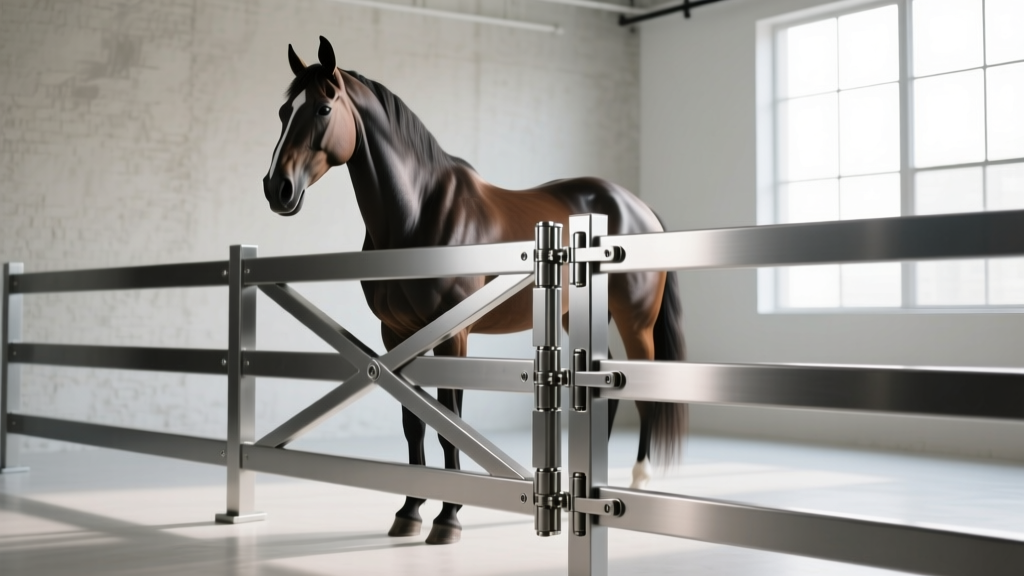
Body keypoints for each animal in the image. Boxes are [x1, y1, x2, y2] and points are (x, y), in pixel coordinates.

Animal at [262, 36, 686, 545]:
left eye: (324, 108)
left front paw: (448, 518)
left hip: (636, 321)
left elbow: (449, 422)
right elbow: (414, 423)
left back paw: (636, 481)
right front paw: (409, 510)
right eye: (284, 111)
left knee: (643, 392)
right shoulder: (395, 336)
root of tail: (638, 205)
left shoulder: (453, 336)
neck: (418, 213)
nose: (277, 189)